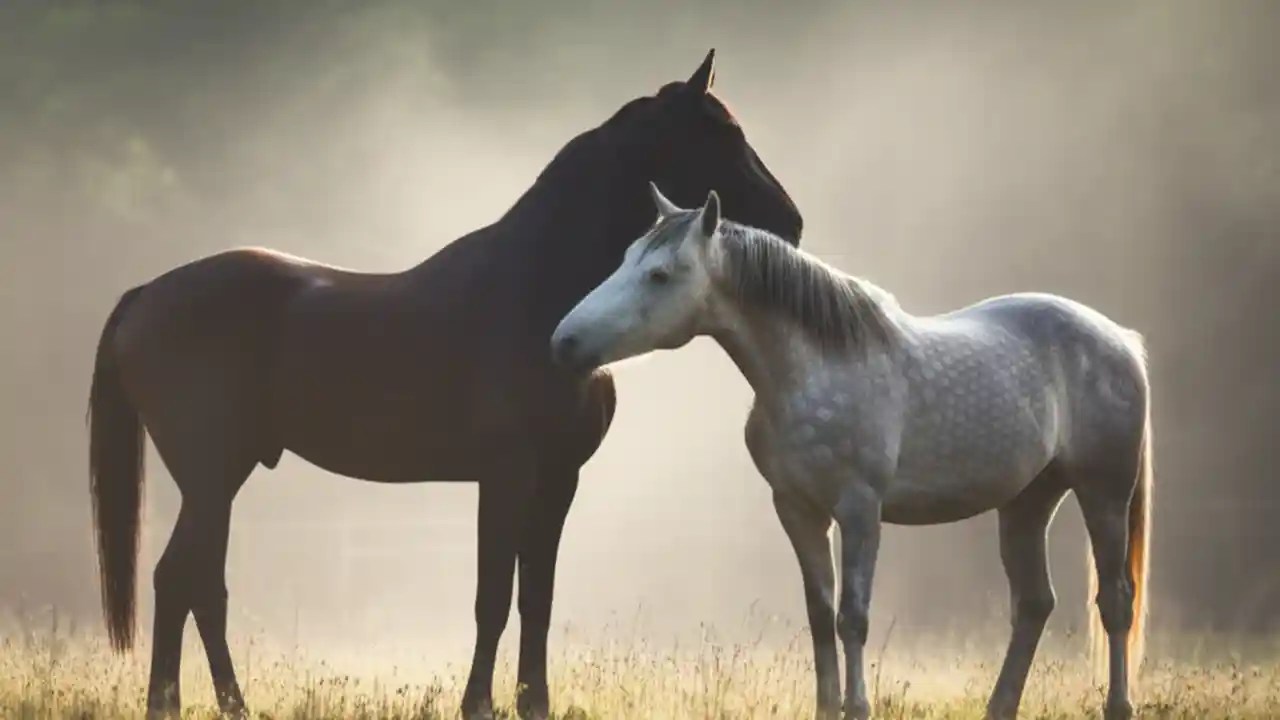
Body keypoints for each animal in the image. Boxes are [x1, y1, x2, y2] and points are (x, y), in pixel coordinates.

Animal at [86, 50, 804, 720]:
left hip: (216, 481)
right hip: (210, 476)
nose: (791, 225)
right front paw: (478, 703)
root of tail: (146, 293)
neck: (538, 292)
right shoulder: (506, 474)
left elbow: (535, 599)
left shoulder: (558, 479)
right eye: (722, 134)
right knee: (185, 581)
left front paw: (533, 702)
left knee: (194, 585)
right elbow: (493, 598)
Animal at [551, 184, 1152, 720]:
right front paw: (825, 707)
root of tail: (1120, 339)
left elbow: (853, 617)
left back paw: (1119, 706)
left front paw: (857, 706)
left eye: (658, 274)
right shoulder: (797, 510)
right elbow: (821, 614)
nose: (564, 342)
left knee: (1115, 600)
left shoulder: (860, 510)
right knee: (1033, 603)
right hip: (1028, 500)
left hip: (1104, 492)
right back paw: (999, 707)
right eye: (627, 258)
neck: (814, 366)